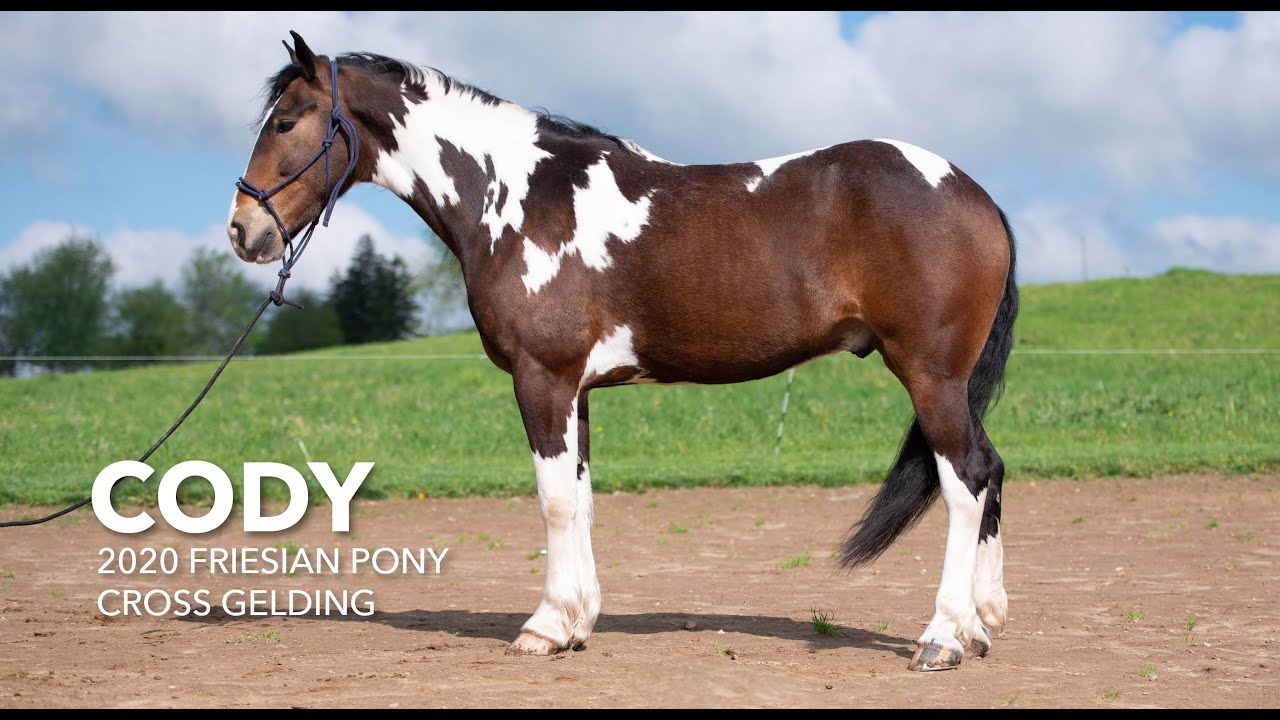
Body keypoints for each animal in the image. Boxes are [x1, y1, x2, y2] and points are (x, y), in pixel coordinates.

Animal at [229, 32, 1018, 671]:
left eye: (287, 120)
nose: (242, 231)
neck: (515, 195)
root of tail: (973, 193)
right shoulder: (576, 390)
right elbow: (578, 500)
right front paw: (576, 622)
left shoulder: (542, 380)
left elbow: (552, 502)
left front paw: (545, 628)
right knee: (992, 468)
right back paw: (982, 625)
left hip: (930, 375)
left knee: (965, 480)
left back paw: (943, 638)